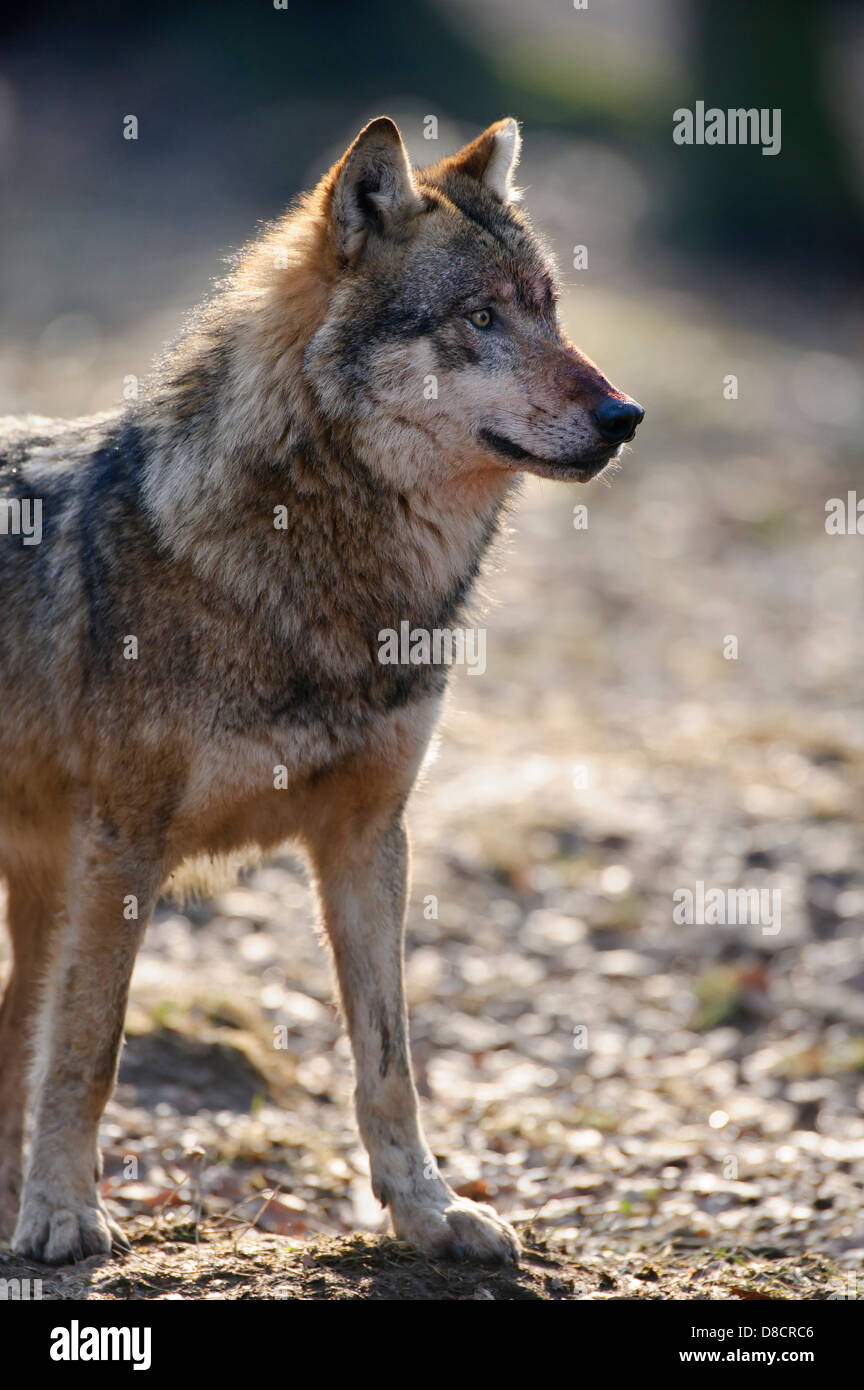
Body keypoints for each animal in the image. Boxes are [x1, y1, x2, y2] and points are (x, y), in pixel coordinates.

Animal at [0, 117, 643, 1266]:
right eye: (481, 318)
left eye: (550, 312)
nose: (626, 415)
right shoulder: (123, 847)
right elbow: (90, 1051)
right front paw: (65, 1214)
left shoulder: (369, 837)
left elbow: (390, 1063)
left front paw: (429, 1212)